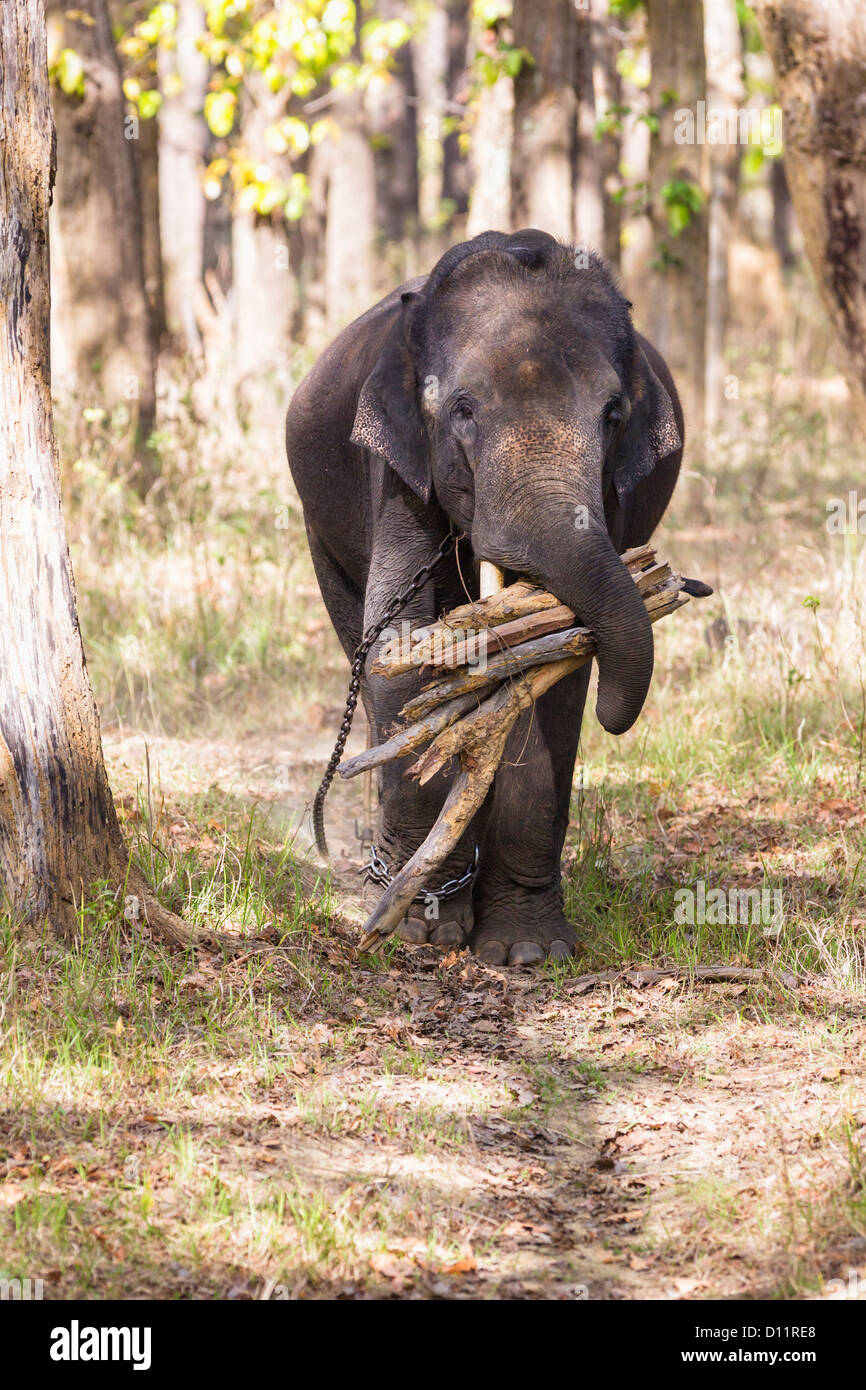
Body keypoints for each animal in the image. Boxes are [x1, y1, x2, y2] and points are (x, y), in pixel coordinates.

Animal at [286, 229, 683, 965]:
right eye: (463, 411)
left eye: (613, 414)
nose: (619, 716)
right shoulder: (396, 471)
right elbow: (401, 653)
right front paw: (423, 930)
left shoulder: (615, 499)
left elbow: (554, 672)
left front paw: (526, 953)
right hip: (317, 525)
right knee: (359, 648)